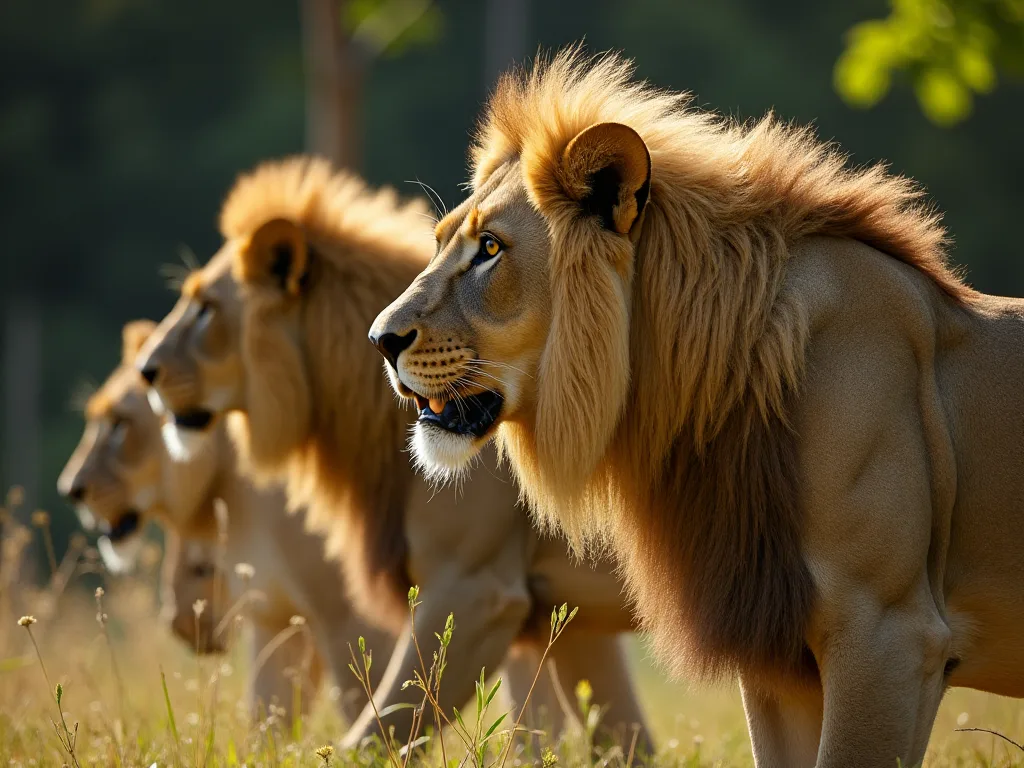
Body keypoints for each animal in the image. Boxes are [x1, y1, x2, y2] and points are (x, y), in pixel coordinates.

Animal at [135, 156, 652, 752]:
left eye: (205, 309)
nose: (144, 371)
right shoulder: (561, 615)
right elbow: (626, 739)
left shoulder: (476, 589)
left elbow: (374, 735)